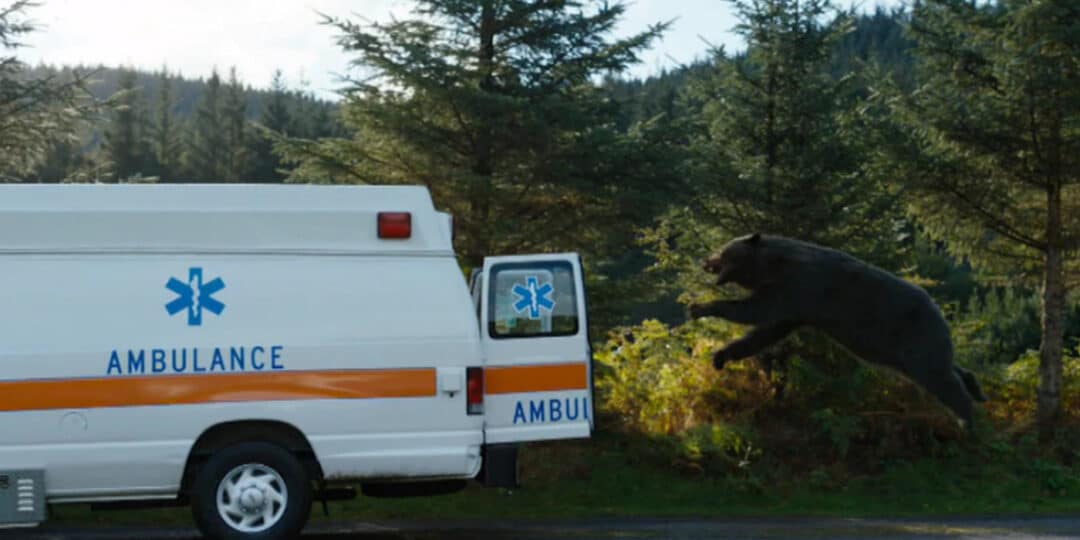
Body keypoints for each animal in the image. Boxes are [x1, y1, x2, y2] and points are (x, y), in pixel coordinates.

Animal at [688, 233, 987, 427]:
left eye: (722, 250)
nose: (704, 260)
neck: (774, 266)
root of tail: (939, 309)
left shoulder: (799, 287)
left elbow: (755, 311)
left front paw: (700, 307)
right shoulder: (796, 308)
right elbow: (766, 332)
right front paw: (721, 355)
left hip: (912, 335)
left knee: (940, 377)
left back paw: (966, 418)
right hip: (903, 349)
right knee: (946, 367)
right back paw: (976, 388)